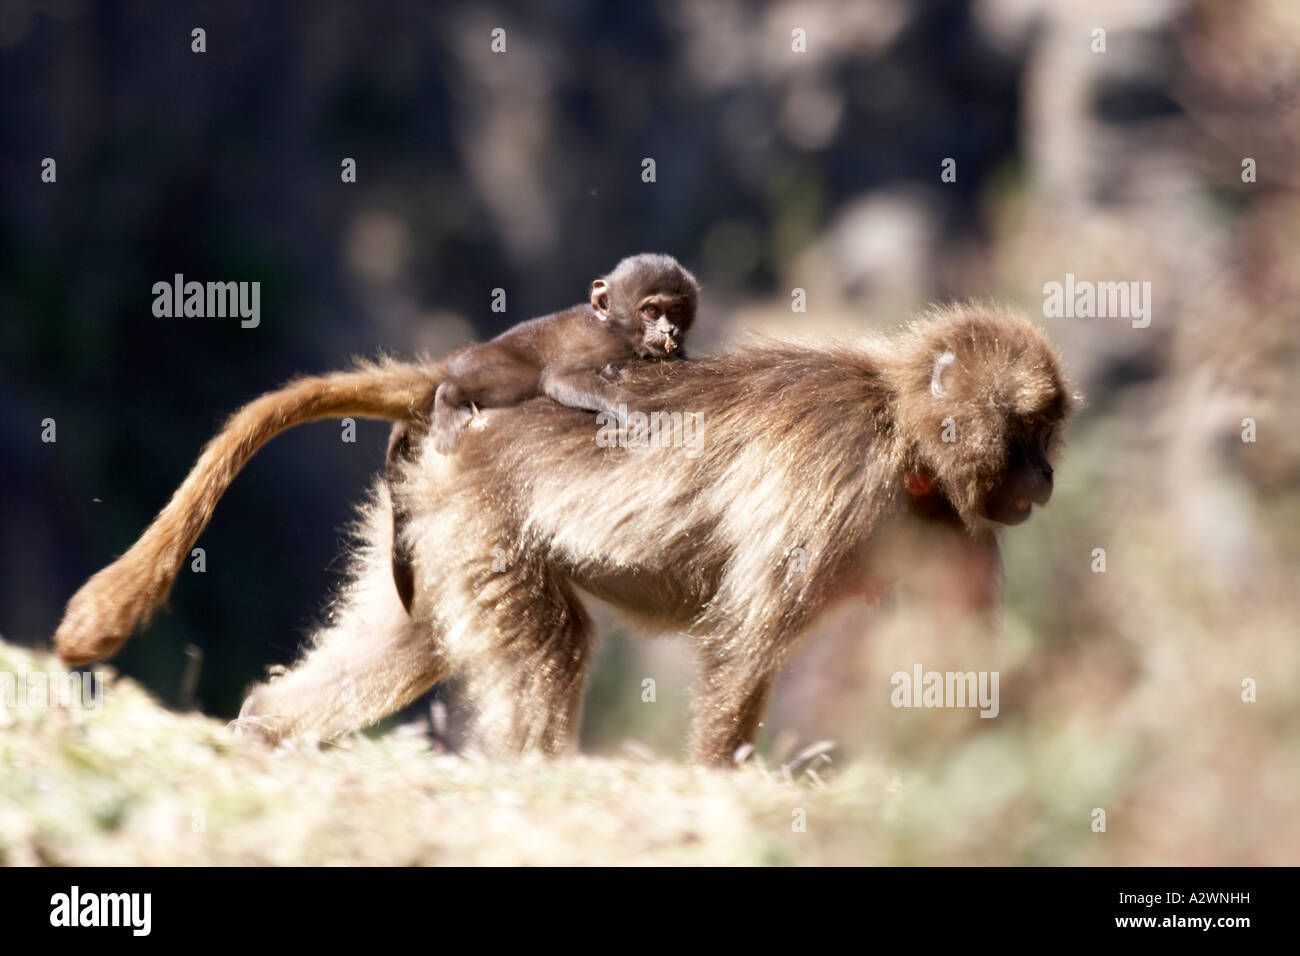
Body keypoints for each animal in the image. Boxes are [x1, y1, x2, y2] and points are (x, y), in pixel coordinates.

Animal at [53, 303, 1074, 765]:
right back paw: (530, 773)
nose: (1047, 480)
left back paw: (267, 728)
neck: (906, 437)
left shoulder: (956, 527)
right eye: (1028, 433)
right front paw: (719, 779)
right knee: (550, 642)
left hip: (432, 518)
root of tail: (454, 382)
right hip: (478, 510)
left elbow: (959, 667)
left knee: (416, 637)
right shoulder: (832, 483)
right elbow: (747, 645)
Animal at [386, 252, 698, 610]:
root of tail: (458, 358)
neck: (616, 330)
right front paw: (634, 410)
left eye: (677, 309)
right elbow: (559, 379)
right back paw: (448, 397)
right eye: (651, 311)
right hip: (492, 364)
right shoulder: (606, 346)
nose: (670, 329)